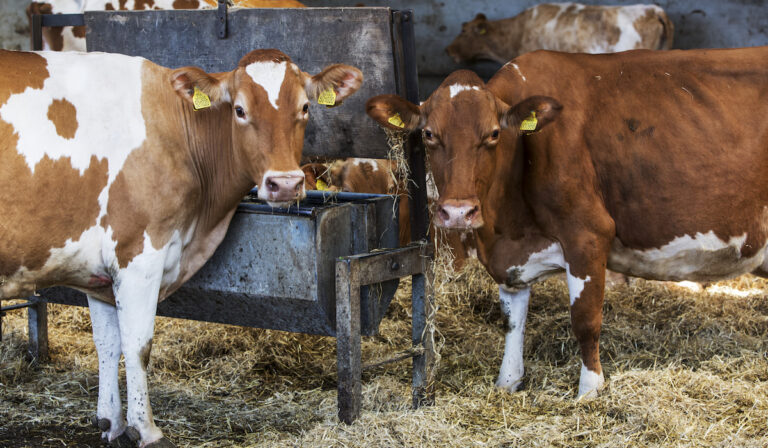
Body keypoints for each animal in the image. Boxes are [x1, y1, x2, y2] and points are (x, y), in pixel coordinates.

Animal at [0, 48, 362, 446]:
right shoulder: (139, 255)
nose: (284, 184)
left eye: (305, 107)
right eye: (239, 109)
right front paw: (146, 429)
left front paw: (111, 422)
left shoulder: (99, 273)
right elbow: (138, 345)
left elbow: (108, 343)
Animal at [366, 46, 768, 399]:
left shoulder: (587, 235)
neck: (508, 225)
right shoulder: (509, 257)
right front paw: (507, 381)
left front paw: (589, 391)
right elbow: (512, 320)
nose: (458, 212)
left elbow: (586, 321)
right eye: (429, 134)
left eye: (493, 133)